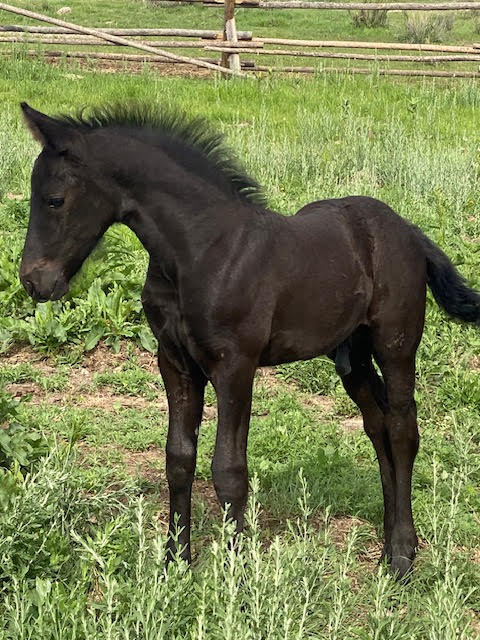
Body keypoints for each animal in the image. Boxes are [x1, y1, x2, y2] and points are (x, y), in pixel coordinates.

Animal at [19, 102, 480, 579]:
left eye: (54, 199)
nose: (33, 281)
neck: (203, 250)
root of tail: (409, 230)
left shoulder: (234, 365)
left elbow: (229, 469)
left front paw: (235, 572)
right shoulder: (175, 362)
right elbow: (179, 459)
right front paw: (175, 563)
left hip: (396, 344)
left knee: (403, 429)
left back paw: (403, 556)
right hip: (351, 356)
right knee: (379, 426)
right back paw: (393, 546)